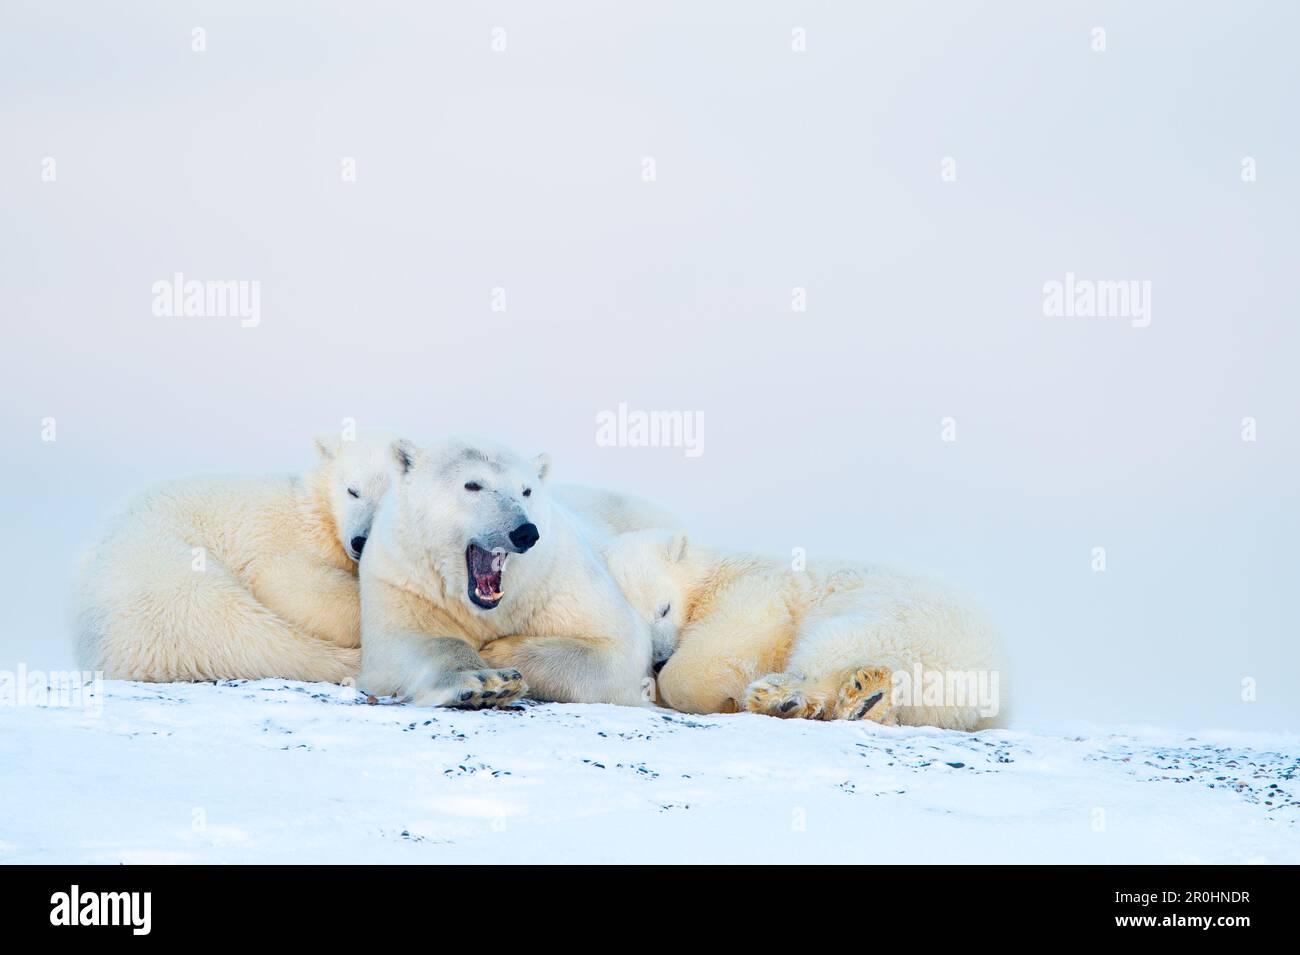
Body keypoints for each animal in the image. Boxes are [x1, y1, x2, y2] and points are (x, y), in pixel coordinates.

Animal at [72, 434, 394, 683]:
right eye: (352, 490)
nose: (360, 541)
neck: (317, 514)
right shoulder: (284, 538)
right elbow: (287, 581)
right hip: (162, 576)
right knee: (242, 630)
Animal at [357, 437, 655, 709]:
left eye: (527, 490)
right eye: (473, 484)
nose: (525, 531)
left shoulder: (555, 579)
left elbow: (619, 644)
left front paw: (496, 656)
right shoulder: (404, 582)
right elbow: (401, 644)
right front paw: (484, 682)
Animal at [602, 529, 1006, 730]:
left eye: (664, 609)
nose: (659, 659)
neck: (713, 571)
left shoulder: (755, 589)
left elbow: (732, 638)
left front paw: (706, 692)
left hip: (896, 617)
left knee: (831, 644)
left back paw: (784, 697)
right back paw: (869, 702)